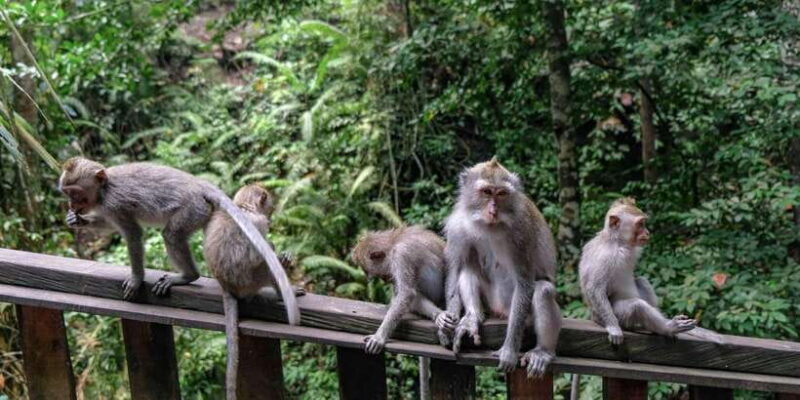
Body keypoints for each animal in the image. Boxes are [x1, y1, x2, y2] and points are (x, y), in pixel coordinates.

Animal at [57, 157, 300, 327]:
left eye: (76, 193)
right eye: (67, 193)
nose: (72, 205)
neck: (104, 189)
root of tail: (201, 185)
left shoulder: (114, 203)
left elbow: (133, 233)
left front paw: (136, 279)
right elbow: (110, 225)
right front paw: (77, 220)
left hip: (194, 208)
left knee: (172, 234)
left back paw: (188, 276)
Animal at [203, 184, 305, 400]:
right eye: (270, 207)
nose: (271, 217)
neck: (245, 207)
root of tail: (227, 286)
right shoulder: (259, 224)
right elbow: (258, 255)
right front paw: (281, 258)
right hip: (250, 283)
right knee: (265, 261)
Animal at [444, 157, 562, 378]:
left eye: (501, 193)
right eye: (486, 192)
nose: (493, 210)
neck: (488, 225)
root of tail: (501, 310)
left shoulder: (521, 233)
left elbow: (525, 283)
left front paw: (509, 351)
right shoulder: (457, 227)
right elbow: (455, 272)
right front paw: (447, 321)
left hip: (518, 312)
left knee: (542, 290)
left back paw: (543, 351)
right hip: (490, 301)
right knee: (468, 269)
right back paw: (472, 318)